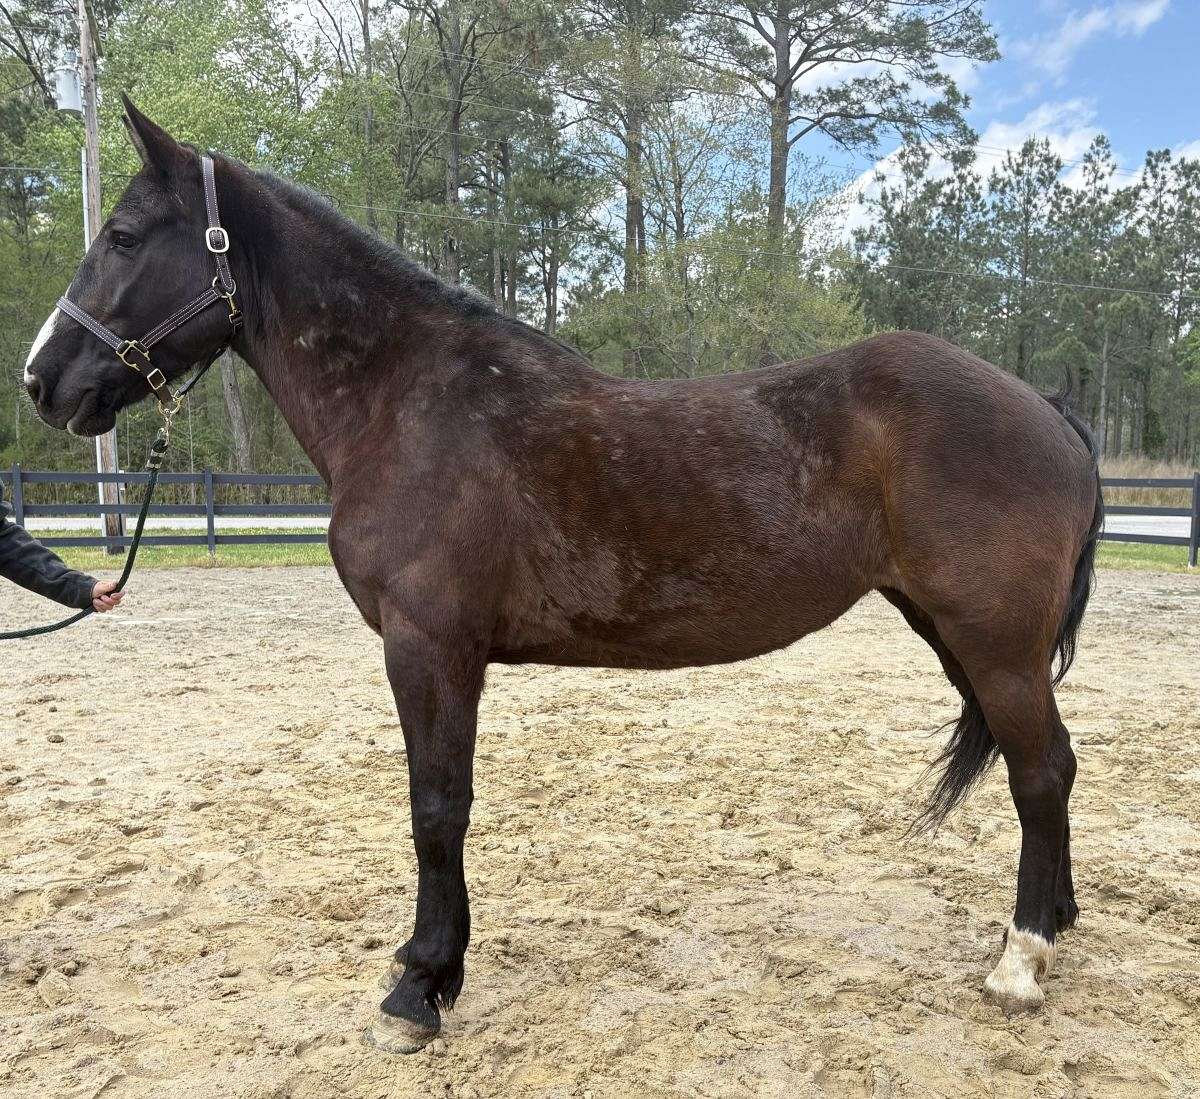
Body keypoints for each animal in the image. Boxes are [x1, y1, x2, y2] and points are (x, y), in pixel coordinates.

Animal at [23, 99, 1103, 1053]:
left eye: (123, 235)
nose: (43, 379)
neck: (410, 403)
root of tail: (1046, 409)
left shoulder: (431, 647)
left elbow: (436, 807)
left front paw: (419, 987)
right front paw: (431, 967)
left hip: (993, 644)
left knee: (1043, 770)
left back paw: (1022, 957)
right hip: (951, 630)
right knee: (1047, 768)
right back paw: (1054, 923)